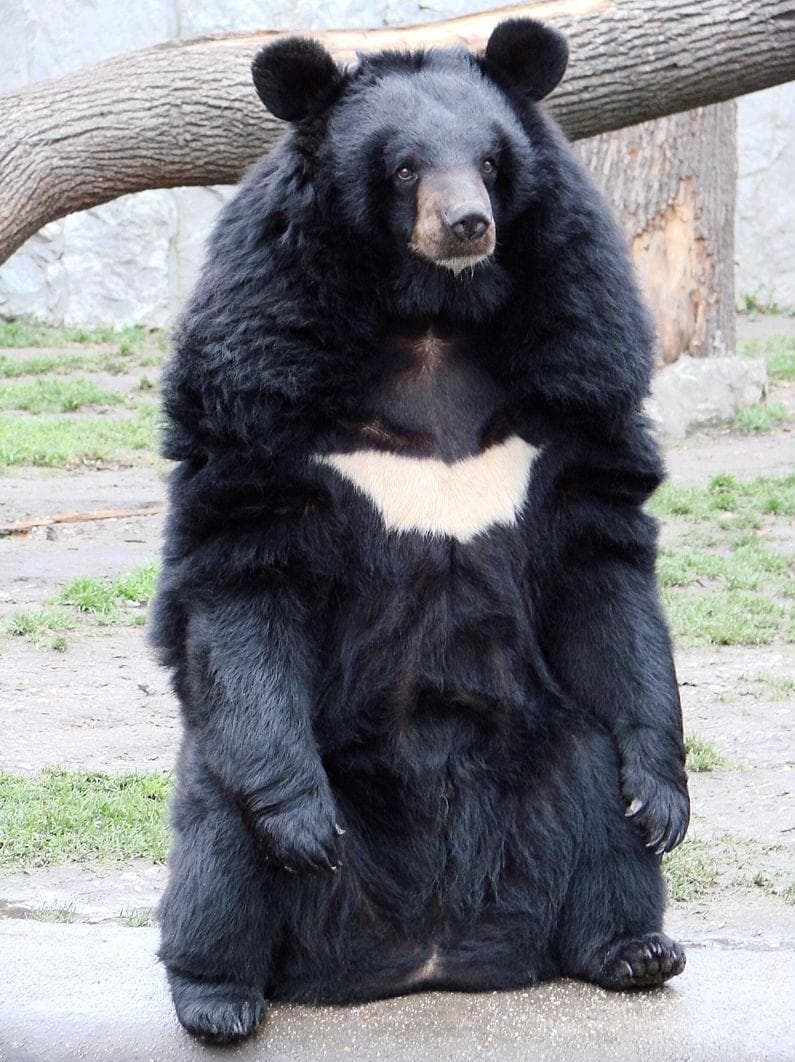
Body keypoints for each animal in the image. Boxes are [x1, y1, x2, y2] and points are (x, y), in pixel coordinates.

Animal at [151, 18, 690, 1045]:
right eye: (403, 168)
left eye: (489, 161)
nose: (467, 225)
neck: (432, 313)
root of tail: (424, 954)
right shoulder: (259, 359)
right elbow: (247, 556)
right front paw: (303, 830)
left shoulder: (580, 354)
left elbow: (599, 554)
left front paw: (665, 800)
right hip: (235, 763)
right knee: (217, 852)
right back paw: (220, 997)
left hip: (551, 748)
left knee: (597, 802)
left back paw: (633, 948)